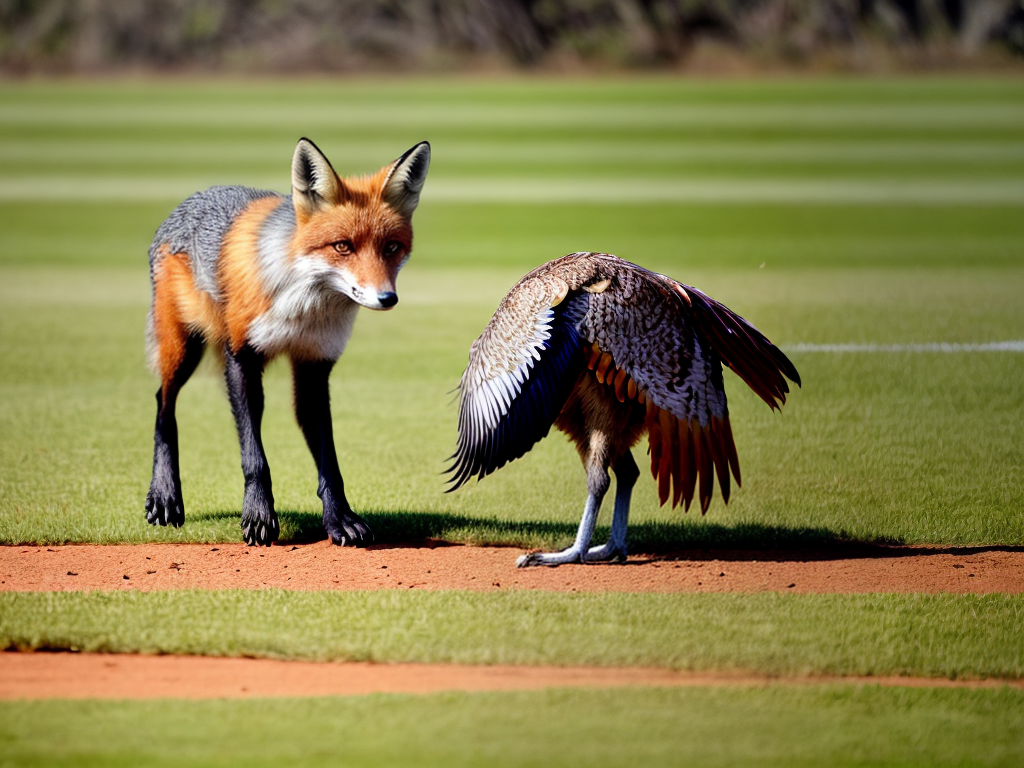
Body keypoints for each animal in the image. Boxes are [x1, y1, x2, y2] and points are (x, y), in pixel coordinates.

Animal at [145, 138, 431, 547]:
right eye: (342, 247)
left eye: (391, 247)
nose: (387, 298)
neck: (303, 309)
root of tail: (195, 196)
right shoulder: (242, 357)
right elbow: (255, 457)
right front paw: (259, 514)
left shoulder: (315, 365)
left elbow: (330, 462)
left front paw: (339, 518)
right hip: (183, 347)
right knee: (163, 406)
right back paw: (165, 494)